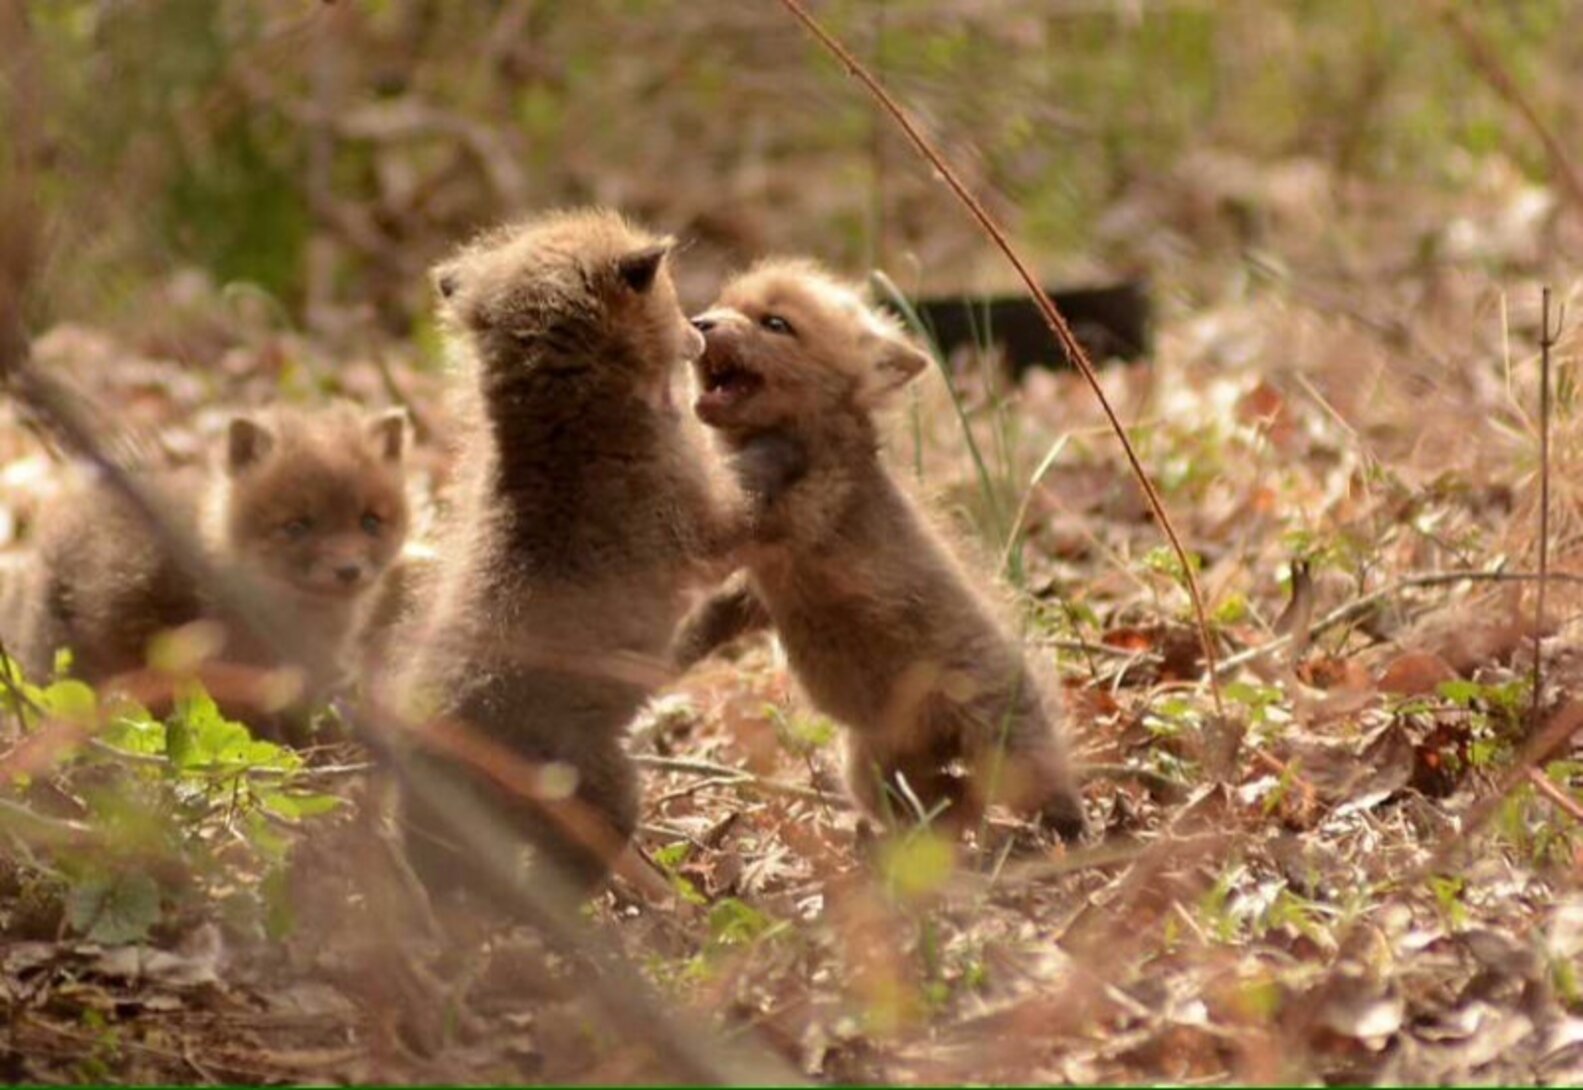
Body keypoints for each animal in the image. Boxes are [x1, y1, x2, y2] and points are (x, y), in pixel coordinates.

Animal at [673, 258, 1087, 840]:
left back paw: (1077, 833)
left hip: (1007, 755)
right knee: (944, 800)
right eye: (721, 307)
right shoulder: (752, 590)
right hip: (871, 766)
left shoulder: (775, 518)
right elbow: (702, 624)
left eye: (775, 324)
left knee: (1042, 784)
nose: (700, 323)